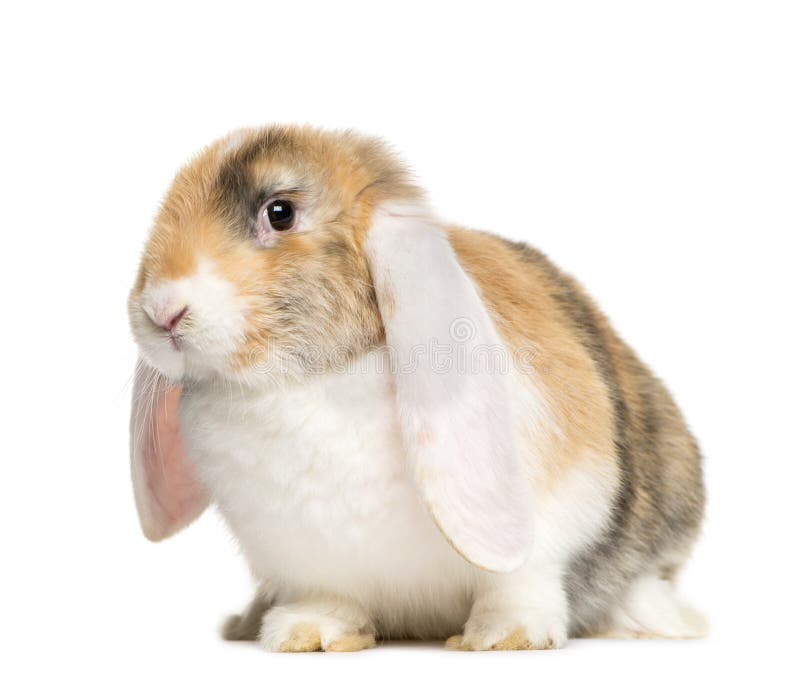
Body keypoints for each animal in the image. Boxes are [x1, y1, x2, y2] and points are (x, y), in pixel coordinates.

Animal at [128, 125, 706, 652]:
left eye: (280, 212)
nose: (161, 311)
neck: (308, 380)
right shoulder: (307, 560)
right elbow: (326, 597)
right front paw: (306, 633)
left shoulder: (560, 506)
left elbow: (522, 582)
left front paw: (505, 637)